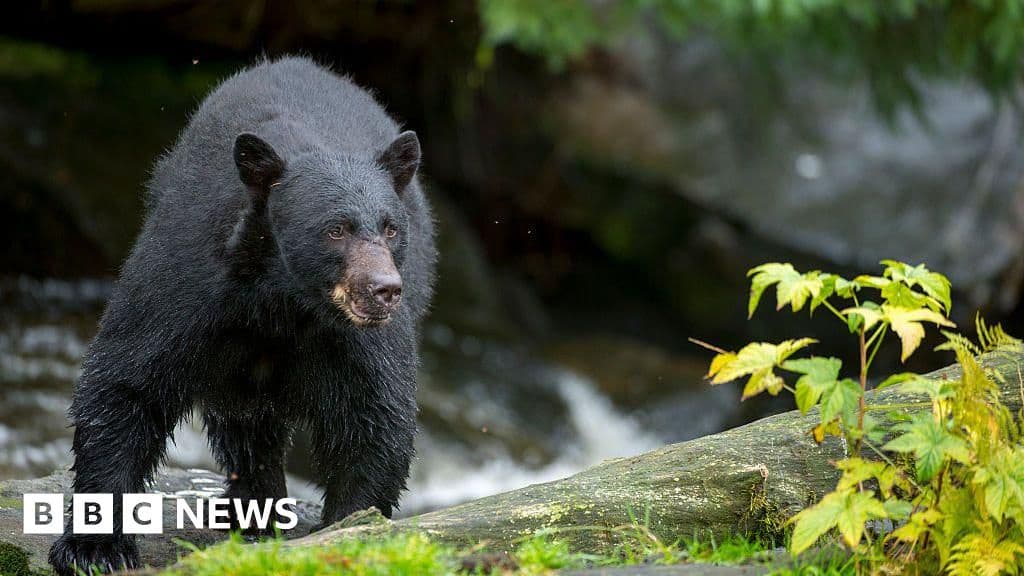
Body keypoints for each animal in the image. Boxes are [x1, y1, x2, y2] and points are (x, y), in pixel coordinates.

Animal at [48, 56, 436, 575]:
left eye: (391, 228)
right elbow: (128, 382)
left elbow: (374, 415)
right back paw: (251, 511)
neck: (283, 299)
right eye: (335, 229)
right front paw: (95, 550)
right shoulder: (190, 284)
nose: (384, 291)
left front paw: (351, 526)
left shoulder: (355, 339)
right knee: (245, 423)